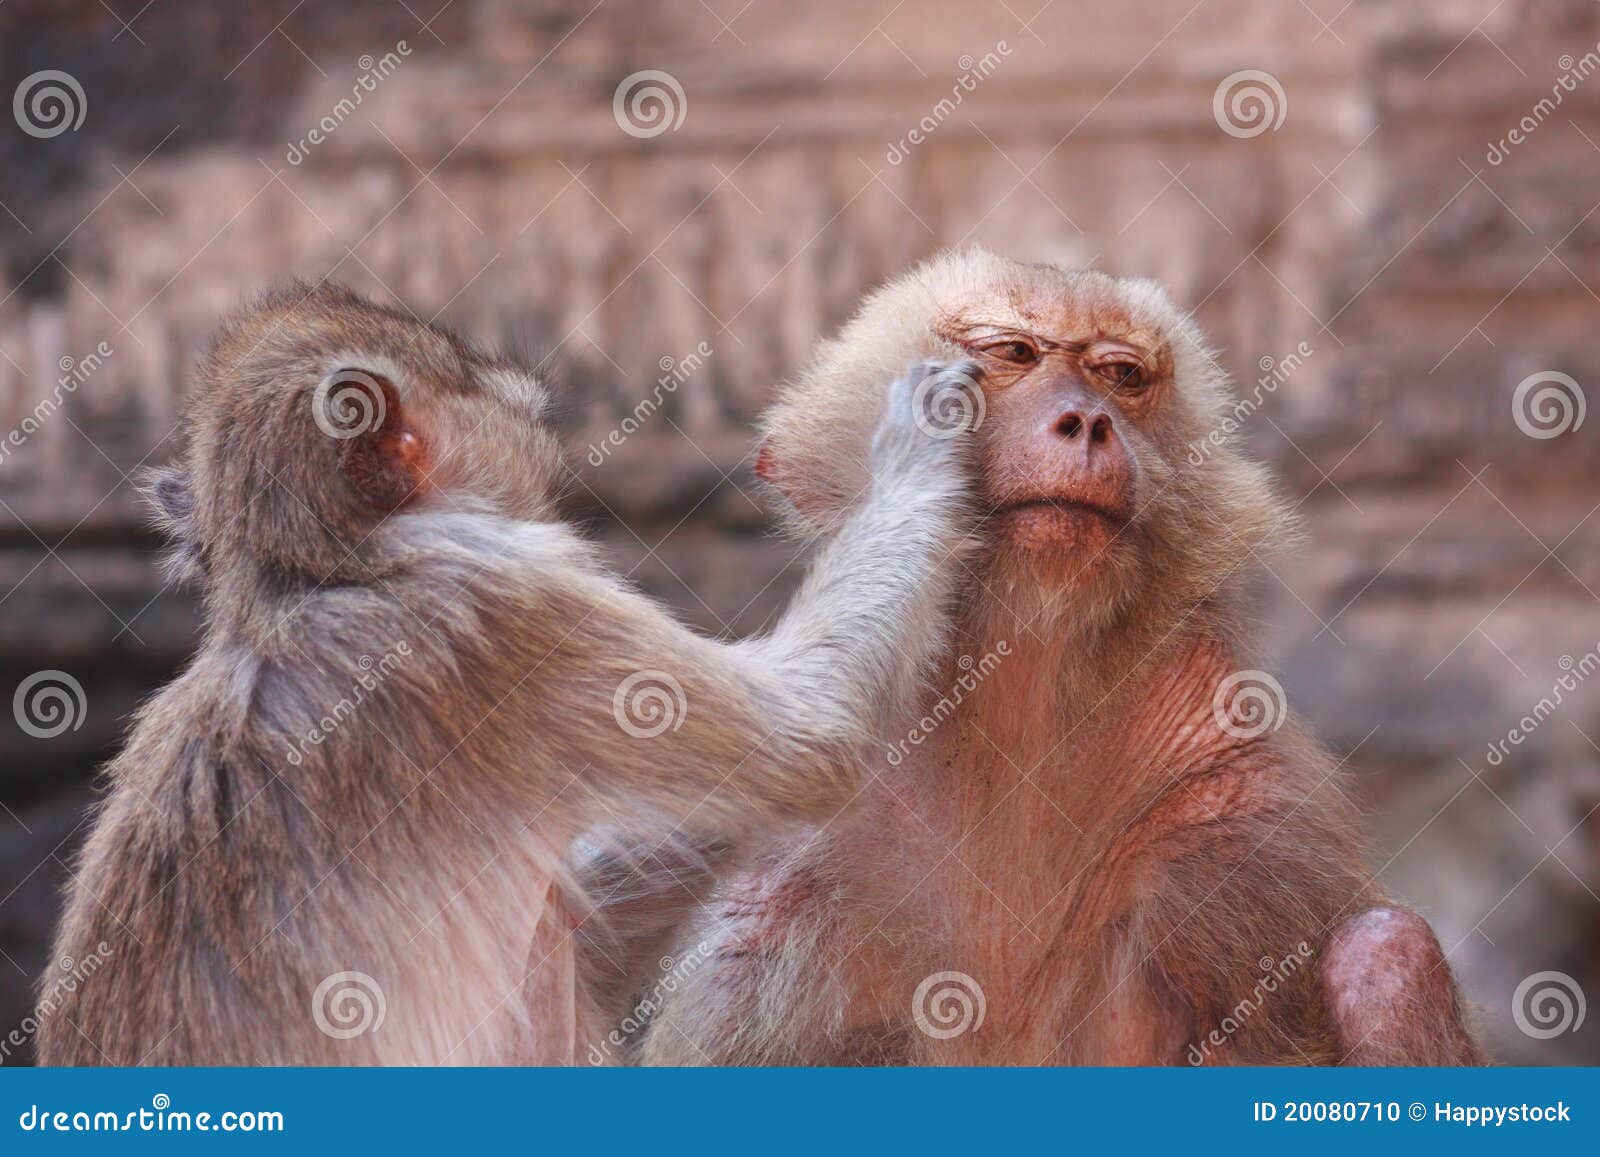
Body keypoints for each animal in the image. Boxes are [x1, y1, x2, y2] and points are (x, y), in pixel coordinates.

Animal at [626, 248, 1483, 1066]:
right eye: (1015, 353)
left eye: (1120, 375)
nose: (1086, 421)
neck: (1018, 680)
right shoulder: (781, 888)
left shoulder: (1231, 801)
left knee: (1390, 957)